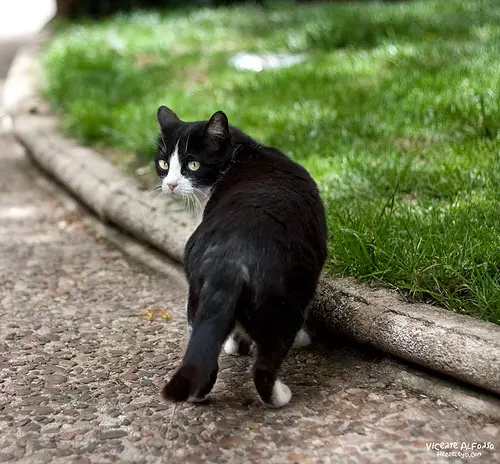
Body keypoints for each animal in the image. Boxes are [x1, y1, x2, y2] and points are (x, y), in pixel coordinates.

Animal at [156, 107, 328, 408]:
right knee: (265, 365)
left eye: (193, 165)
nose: (171, 184)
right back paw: (280, 396)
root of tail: (228, 263)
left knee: (203, 353)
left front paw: (235, 345)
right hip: (286, 299)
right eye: (164, 164)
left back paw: (197, 395)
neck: (242, 154)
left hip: (197, 295)